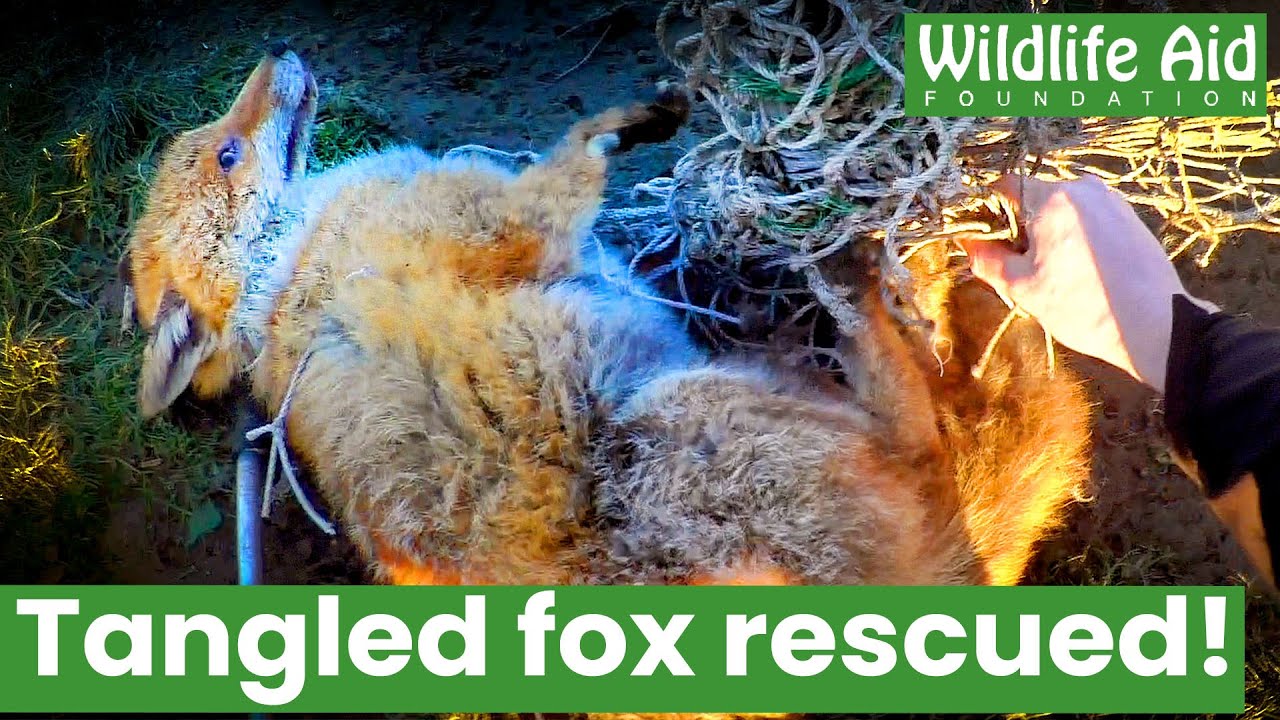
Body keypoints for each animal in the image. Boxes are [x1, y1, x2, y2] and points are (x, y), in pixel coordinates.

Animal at [124, 45, 1091, 588]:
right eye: (228, 151)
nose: (280, 45)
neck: (286, 268)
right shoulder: (515, 217)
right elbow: (579, 146)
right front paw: (636, 121)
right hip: (698, 405)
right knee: (928, 440)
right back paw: (862, 289)